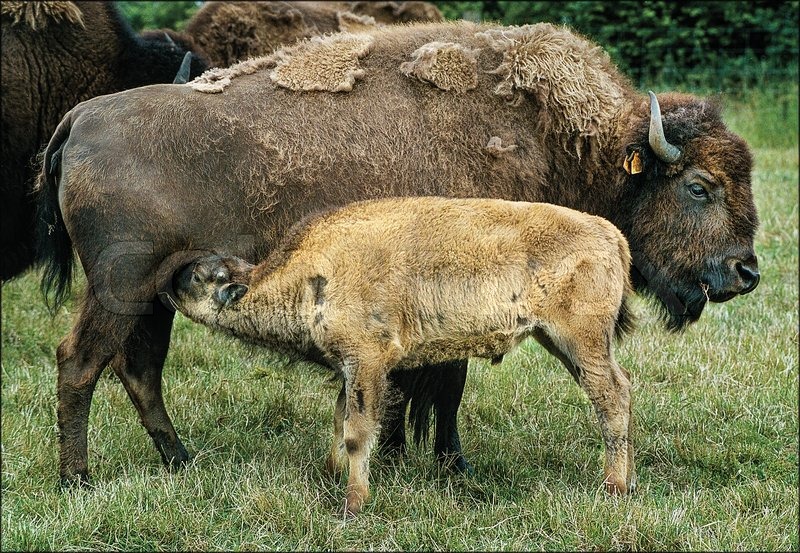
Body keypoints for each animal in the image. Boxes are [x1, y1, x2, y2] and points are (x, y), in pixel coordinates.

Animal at [36, 21, 759, 487]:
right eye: (700, 185)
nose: (745, 271)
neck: (559, 138)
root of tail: (81, 118)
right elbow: (446, 387)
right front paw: (449, 468)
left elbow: (419, 387)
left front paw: (399, 456)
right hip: (119, 288)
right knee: (81, 363)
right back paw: (79, 478)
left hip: (154, 295)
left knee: (139, 370)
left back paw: (180, 460)